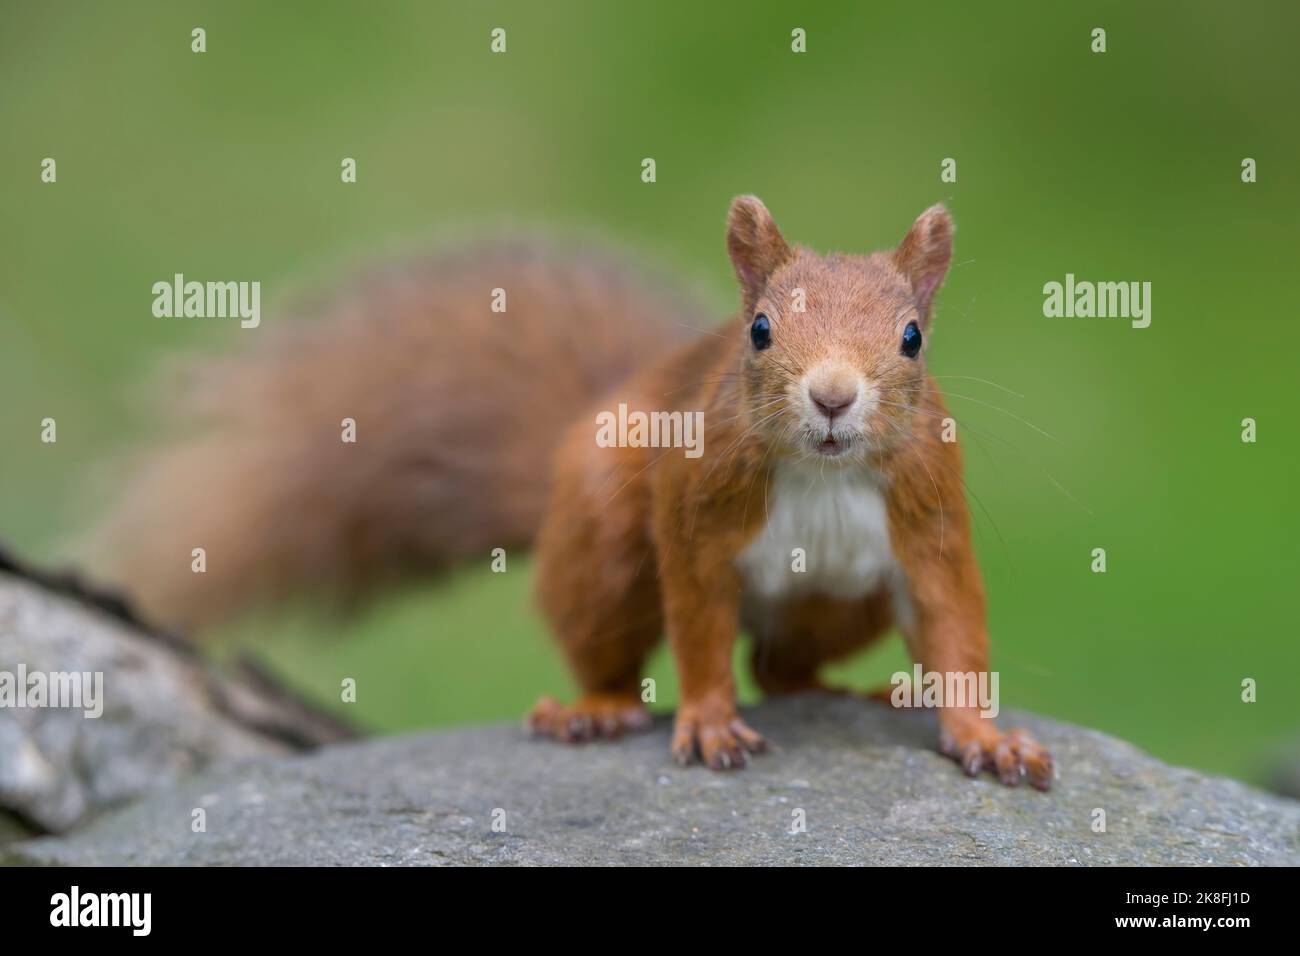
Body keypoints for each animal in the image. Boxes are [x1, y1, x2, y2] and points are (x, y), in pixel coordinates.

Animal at [87, 196, 1053, 790]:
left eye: (913, 337)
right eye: (759, 330)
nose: (832, 396)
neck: (823, 472)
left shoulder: (928, 518)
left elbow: (955, 629)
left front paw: (987, 739)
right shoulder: (694, 513)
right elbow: (699, 631)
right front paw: (708, 724)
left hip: (839, 603)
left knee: (782, 667)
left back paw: (857, 693)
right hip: (604, 543)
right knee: (628, 648)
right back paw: (594, 712)